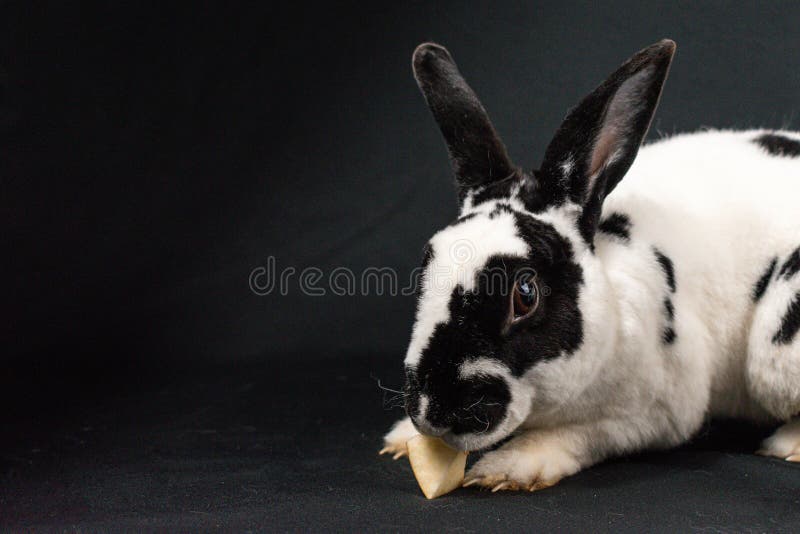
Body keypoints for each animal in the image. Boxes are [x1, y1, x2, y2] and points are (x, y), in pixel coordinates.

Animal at [379, 38, 800, 492]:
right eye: (426, 269)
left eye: (525, 295)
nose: (433, 413)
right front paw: (401, 439)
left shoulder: (654, 412)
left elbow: (579, 434)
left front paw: (508, 468)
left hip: (775, 351)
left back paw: (785, 446)